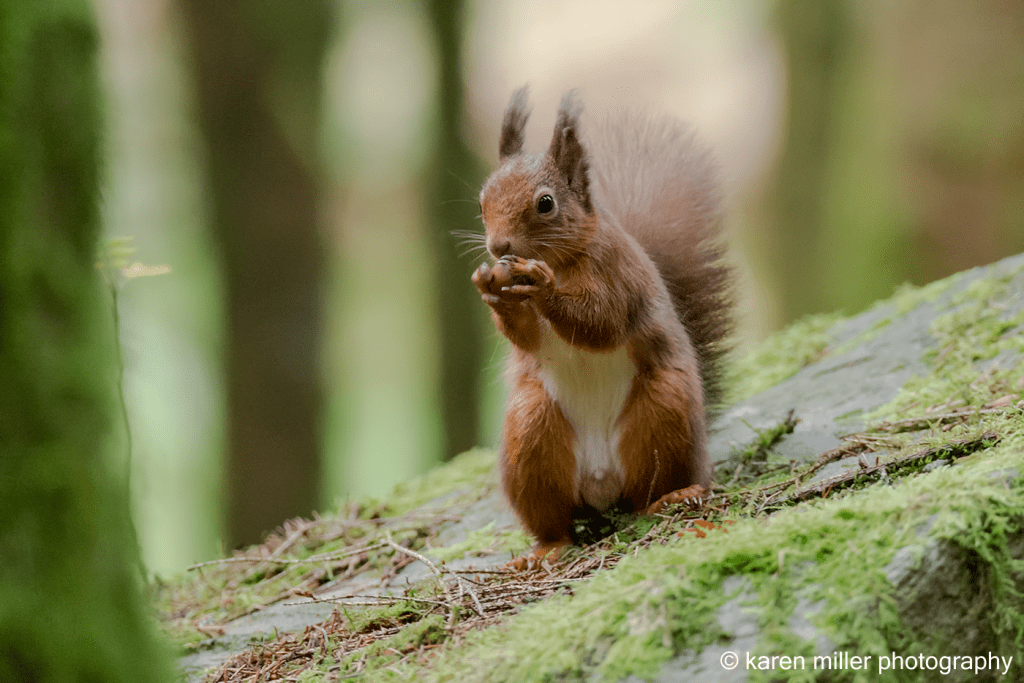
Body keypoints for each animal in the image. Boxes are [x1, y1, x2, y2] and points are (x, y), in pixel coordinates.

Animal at [471, 87, 732, 568]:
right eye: (482, 203)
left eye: (546, 203)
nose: (498, 247)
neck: (562, 260)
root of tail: (601, 484)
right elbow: (528, 338)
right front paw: (492, 290)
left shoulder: (618, 276)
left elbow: (602, 322)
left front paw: (541, 286)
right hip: (531, 433)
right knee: (556, 521)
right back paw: (546, 549)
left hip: (664, 409)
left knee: (647, 493)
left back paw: (672, 497)